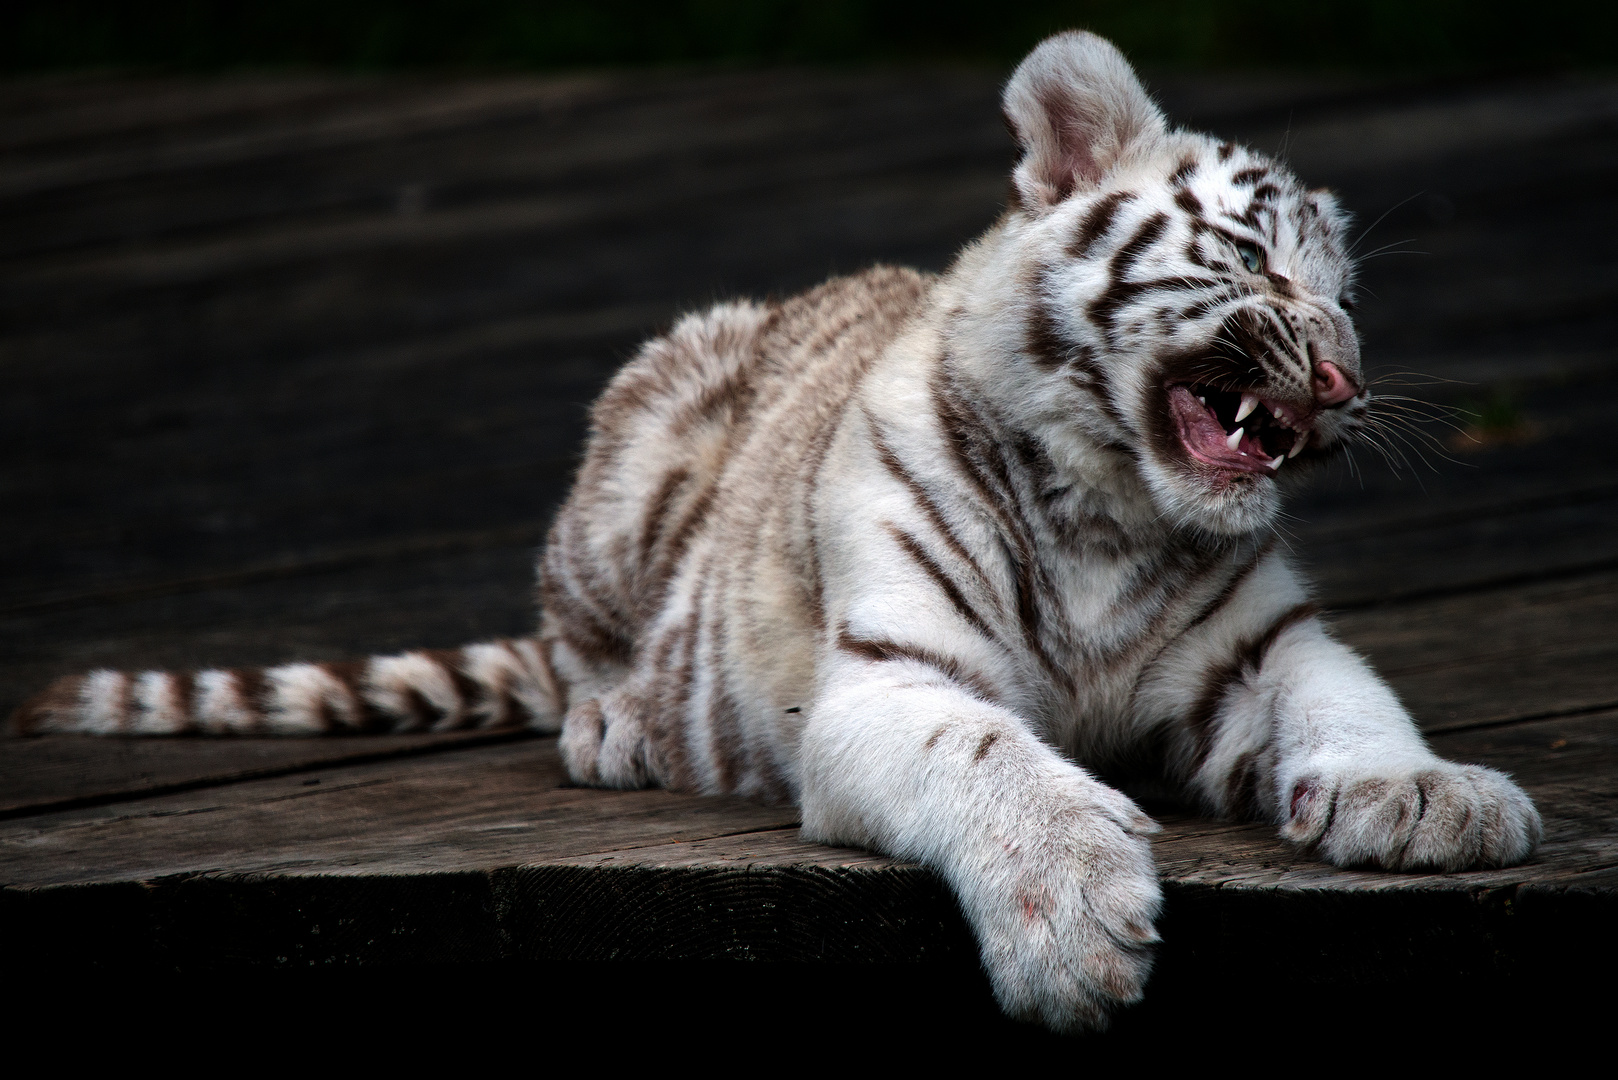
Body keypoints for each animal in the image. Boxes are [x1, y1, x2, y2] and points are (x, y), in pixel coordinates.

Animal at [15, 32, 1541, 1032]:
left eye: (1350, 300)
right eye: (1259, 262)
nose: (1342, 381)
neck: (1114, 510)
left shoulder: (1257, 652)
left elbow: (1348, 698)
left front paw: (1430, 799)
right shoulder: (884, 681)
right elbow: (993, 759)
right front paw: (1071, 925)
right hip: (638, 444)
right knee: (575, 652)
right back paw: (616, 725)